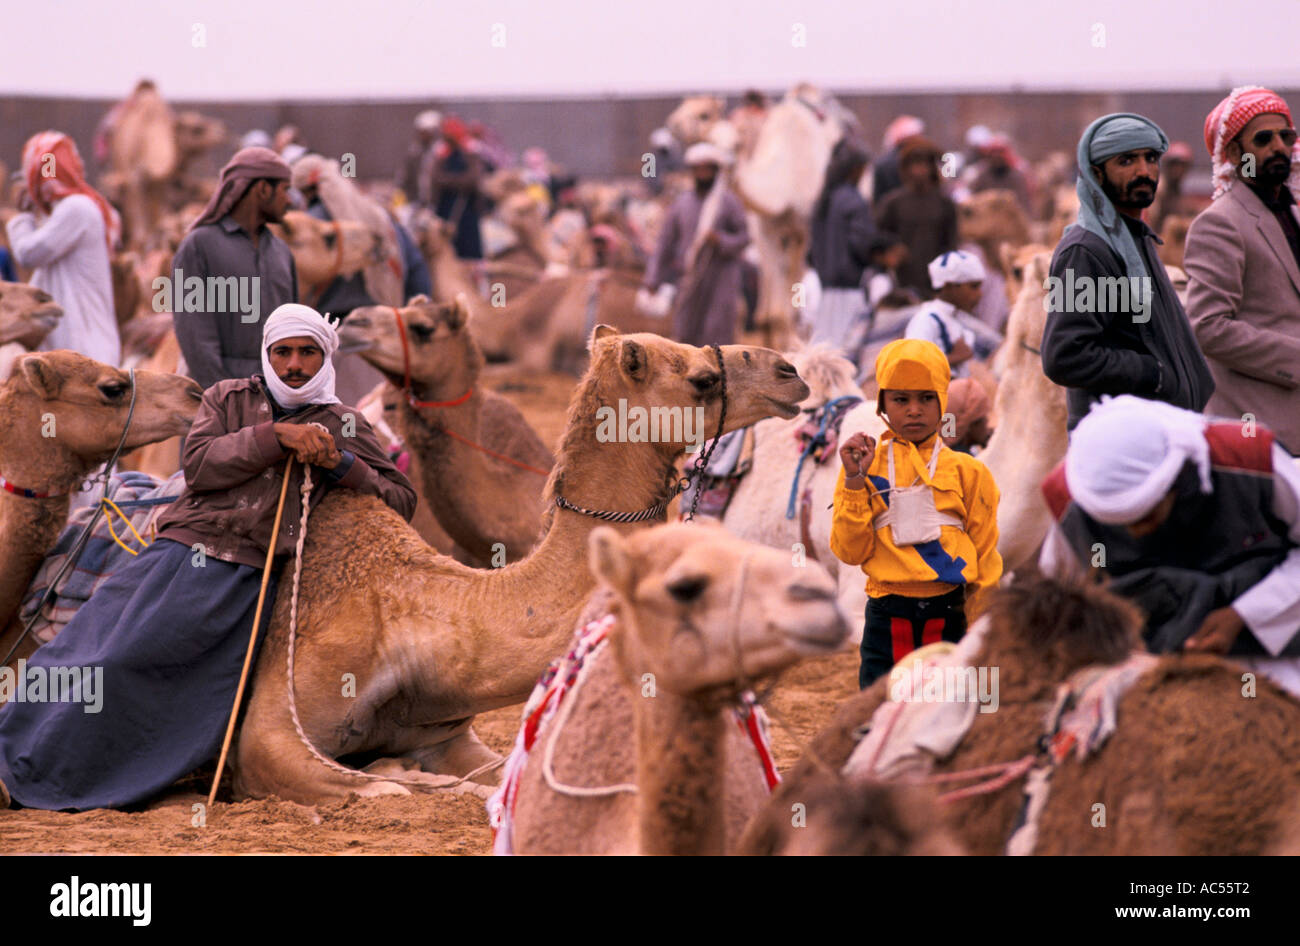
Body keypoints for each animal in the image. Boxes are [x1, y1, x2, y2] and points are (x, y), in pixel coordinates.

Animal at [232, 327, 810, 805]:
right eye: (702, 378)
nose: (791, 372)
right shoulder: (269, 734)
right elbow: (382, 788)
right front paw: (406, 778)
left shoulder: (445, 736)